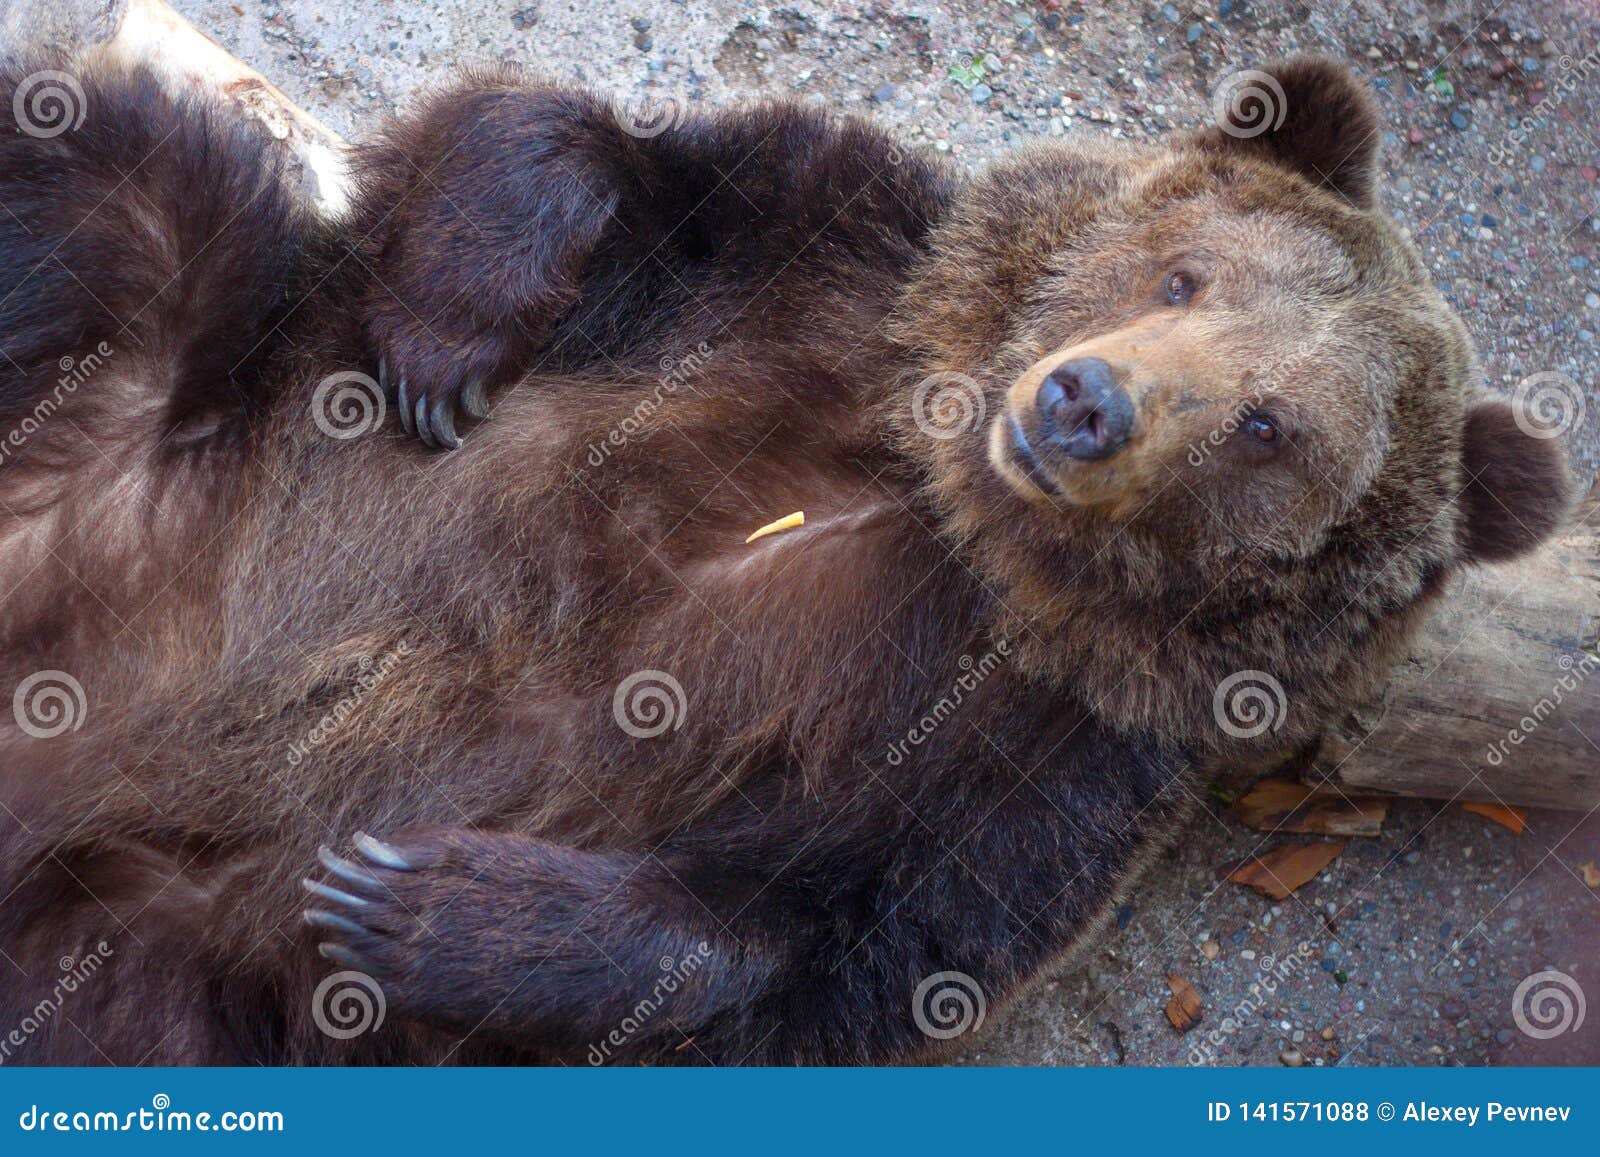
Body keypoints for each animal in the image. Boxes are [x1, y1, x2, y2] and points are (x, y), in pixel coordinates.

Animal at [0, 53, 1570, 1065]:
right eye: (1186, 273)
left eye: (1267, 426)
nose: (1084, 403)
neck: (942, 495)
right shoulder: (817, 262)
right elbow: (587, 148)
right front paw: (447, 336)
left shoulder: (1049, 756)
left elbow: (846, 940)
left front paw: (422, 900)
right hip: (159, 419)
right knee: (118, 194)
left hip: (159, 952)